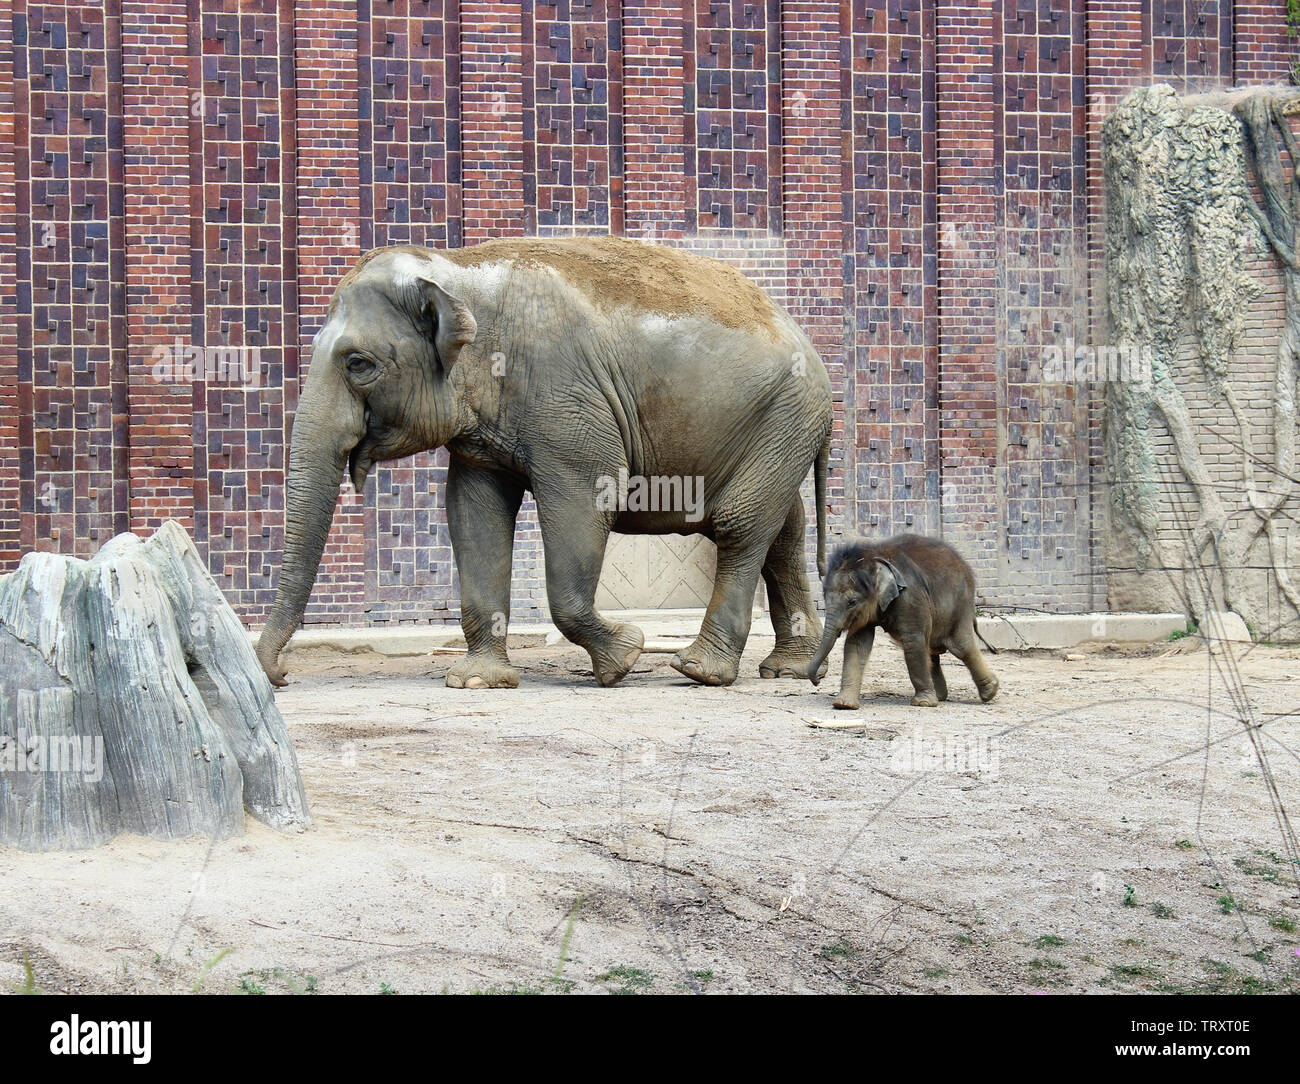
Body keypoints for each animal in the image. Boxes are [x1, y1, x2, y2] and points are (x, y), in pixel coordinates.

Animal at [255, 236, 834, 691]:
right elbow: (473, 512)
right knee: (784, 530)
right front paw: (477, 681)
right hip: (777, 428)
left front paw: (623, 657)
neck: (457, 268)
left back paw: (699, 670)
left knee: (740, 524)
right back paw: (789, 670)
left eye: (359, 364)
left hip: (786, 414)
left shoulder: (568, 402)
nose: (280, 676)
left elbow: (587, 494)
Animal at [806, 534, 999, 709]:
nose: (817, 682)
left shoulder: (911, 597)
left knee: (960, 646)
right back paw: (941, 696)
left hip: (960, 605)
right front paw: (844, 704)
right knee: (932, 648)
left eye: (851, 602)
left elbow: (913, 641)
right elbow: (857, 644)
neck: (875, 556)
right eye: (824, 596)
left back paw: (989, 692)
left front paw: (923, 703)